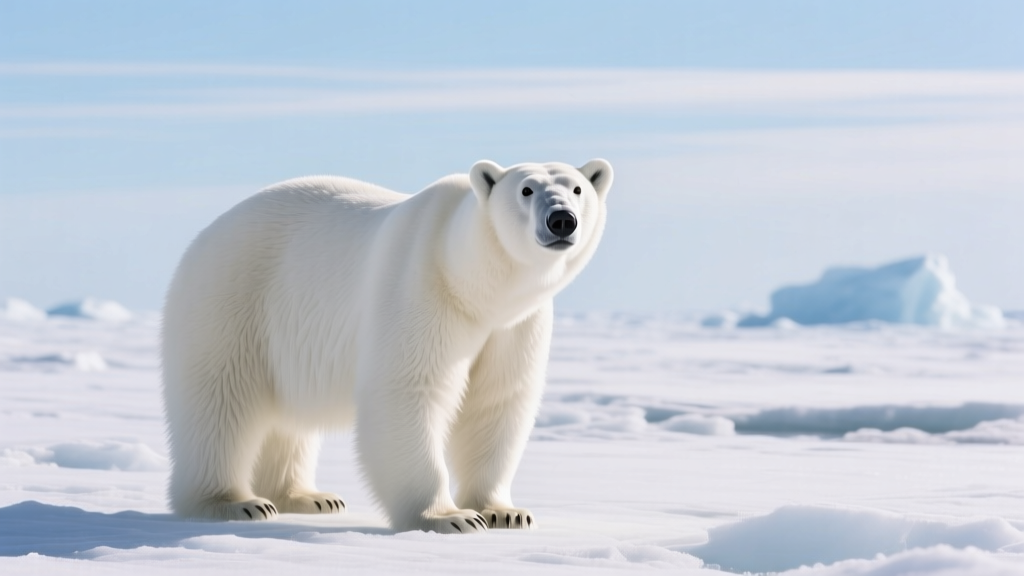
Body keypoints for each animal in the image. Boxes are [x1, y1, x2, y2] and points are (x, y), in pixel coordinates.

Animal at [161, 159, 614, 533]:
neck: (474, 284)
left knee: (288, 419)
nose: (562, 220)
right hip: (232, 301)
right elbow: (409, 392)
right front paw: (448, 517)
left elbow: (497, 402)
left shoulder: (515, 326)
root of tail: (206, 233)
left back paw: (308, 497)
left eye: (576, 188)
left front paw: (505, 512)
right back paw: (234, 502)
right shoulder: (422, 289)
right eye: (526, 189)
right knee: (221, 401)